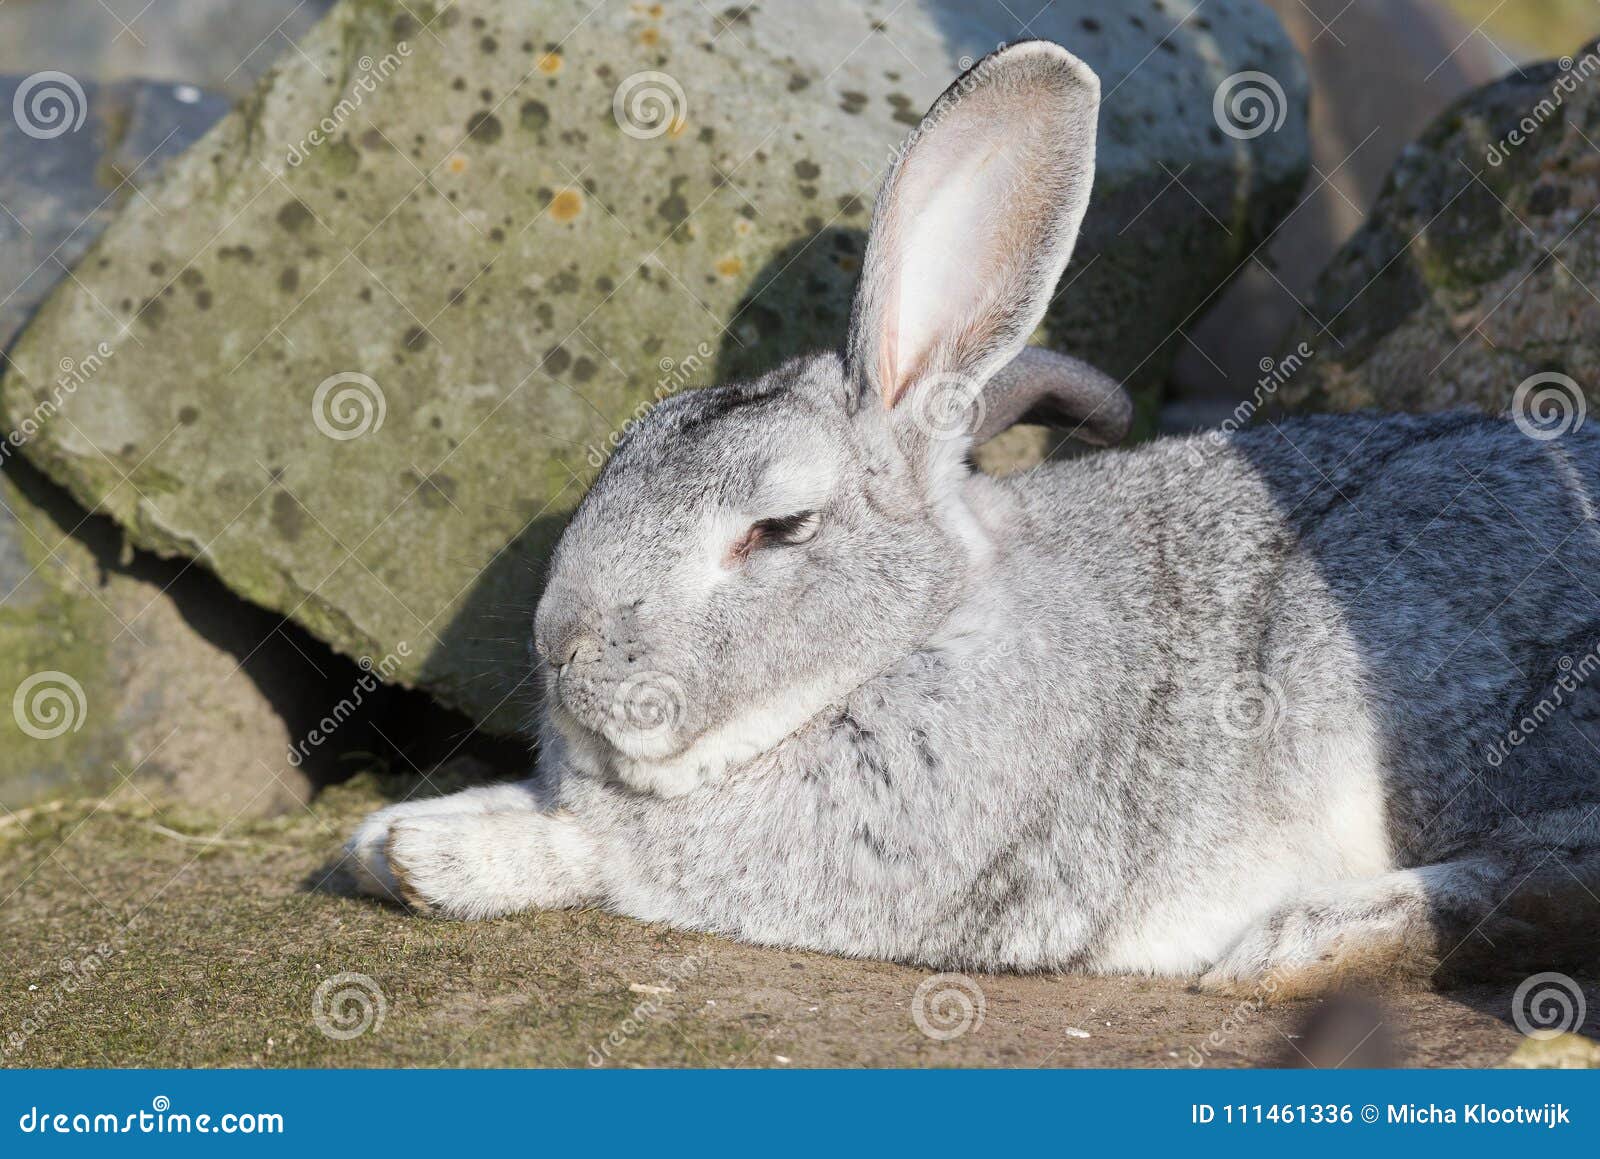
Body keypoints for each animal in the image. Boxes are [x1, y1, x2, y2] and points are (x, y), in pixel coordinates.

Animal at [344, 39, 1600, 990]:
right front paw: (386, 840)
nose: (562, 647)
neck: (913, 631)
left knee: (1550, 871)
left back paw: (1287, 950)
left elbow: (610, 851)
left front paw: (428, 851)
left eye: (777, 529)